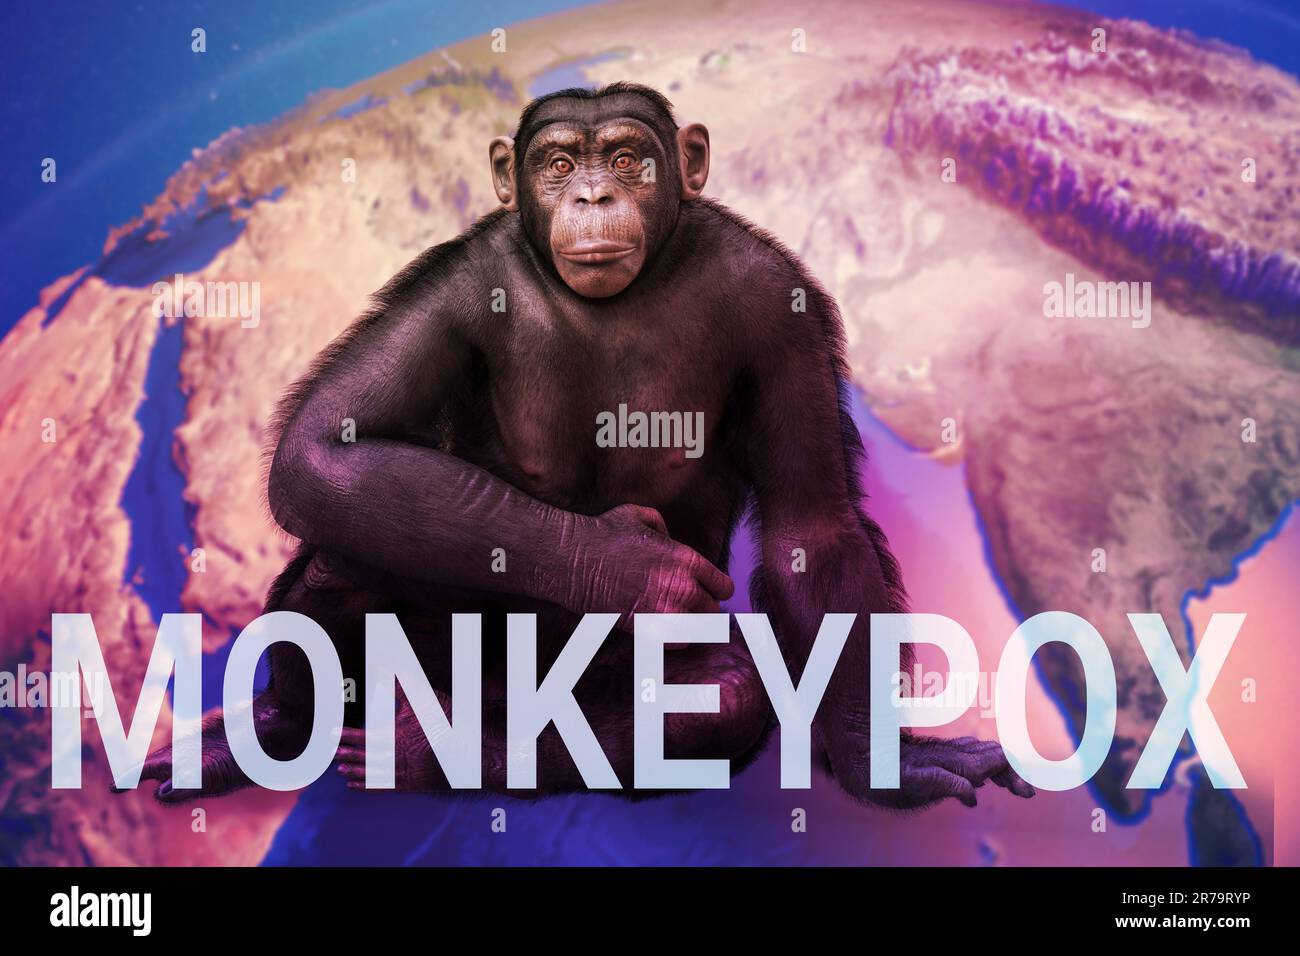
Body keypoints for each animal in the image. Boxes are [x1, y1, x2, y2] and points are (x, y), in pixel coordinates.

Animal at [135, 82, 1034, 809]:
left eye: (630, 158)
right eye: (560, 161)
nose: (596, 192)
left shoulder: (780, 302)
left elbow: (812, 531)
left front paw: (879, 760)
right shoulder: (456, 286)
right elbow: (326, 447)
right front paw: (629, 566)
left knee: (726, 694)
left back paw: (437, 757)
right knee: (347, 547)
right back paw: (270, 738)